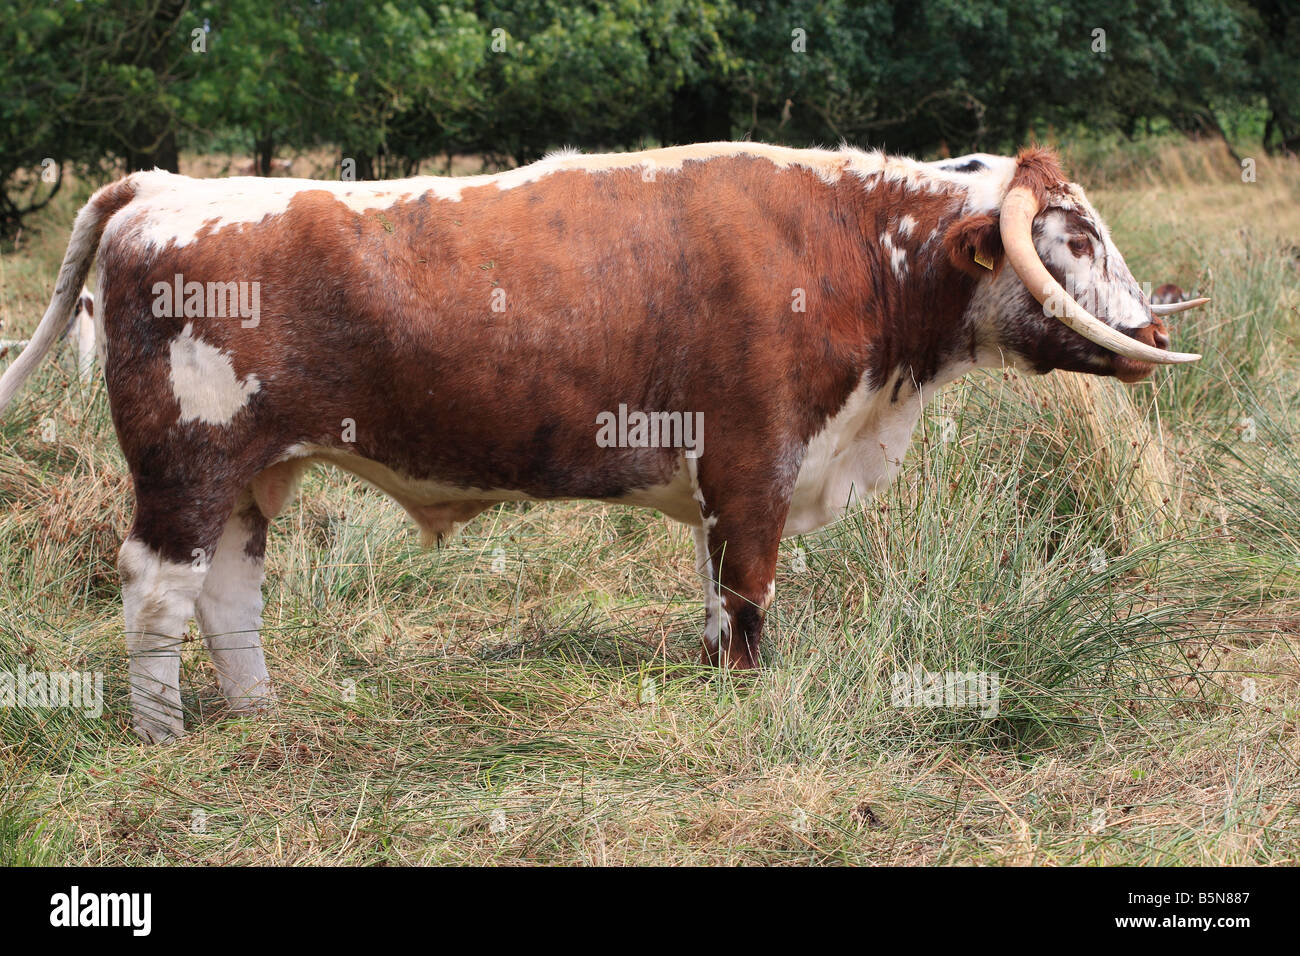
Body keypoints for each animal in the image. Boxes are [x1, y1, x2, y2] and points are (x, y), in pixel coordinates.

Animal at [0, 142, 1209, 743]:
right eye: (1072, 235)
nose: (1152, 332)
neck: (848, 242)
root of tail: (163, 185)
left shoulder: (724, 483)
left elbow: (715, 596)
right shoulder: (753, 466)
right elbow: (747, 597)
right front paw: (743, 696)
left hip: (258, 470)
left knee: (228, 588)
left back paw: (258, 713)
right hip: (187, 462)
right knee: (158, 588)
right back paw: (163, 734)